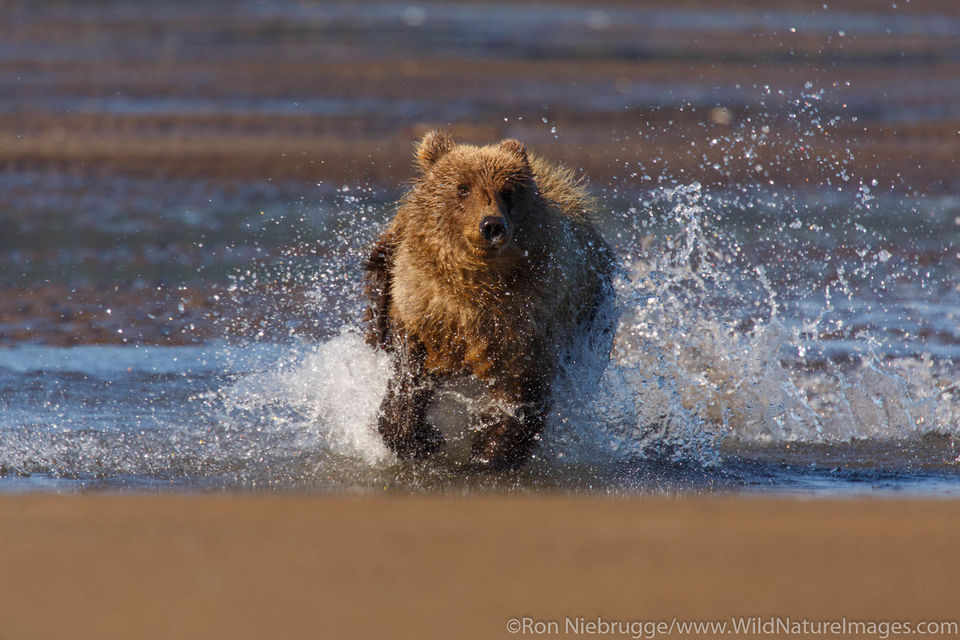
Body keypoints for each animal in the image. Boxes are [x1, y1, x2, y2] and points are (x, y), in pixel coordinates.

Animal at [363, 131, 615, 470]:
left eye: (508, 191)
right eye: (462, 187)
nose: (492, 225)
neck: (475, 286)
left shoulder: (527, 319)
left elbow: (519, 393)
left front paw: (486, 456)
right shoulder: (422, 305)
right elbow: (408, 376)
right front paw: (421, 439)